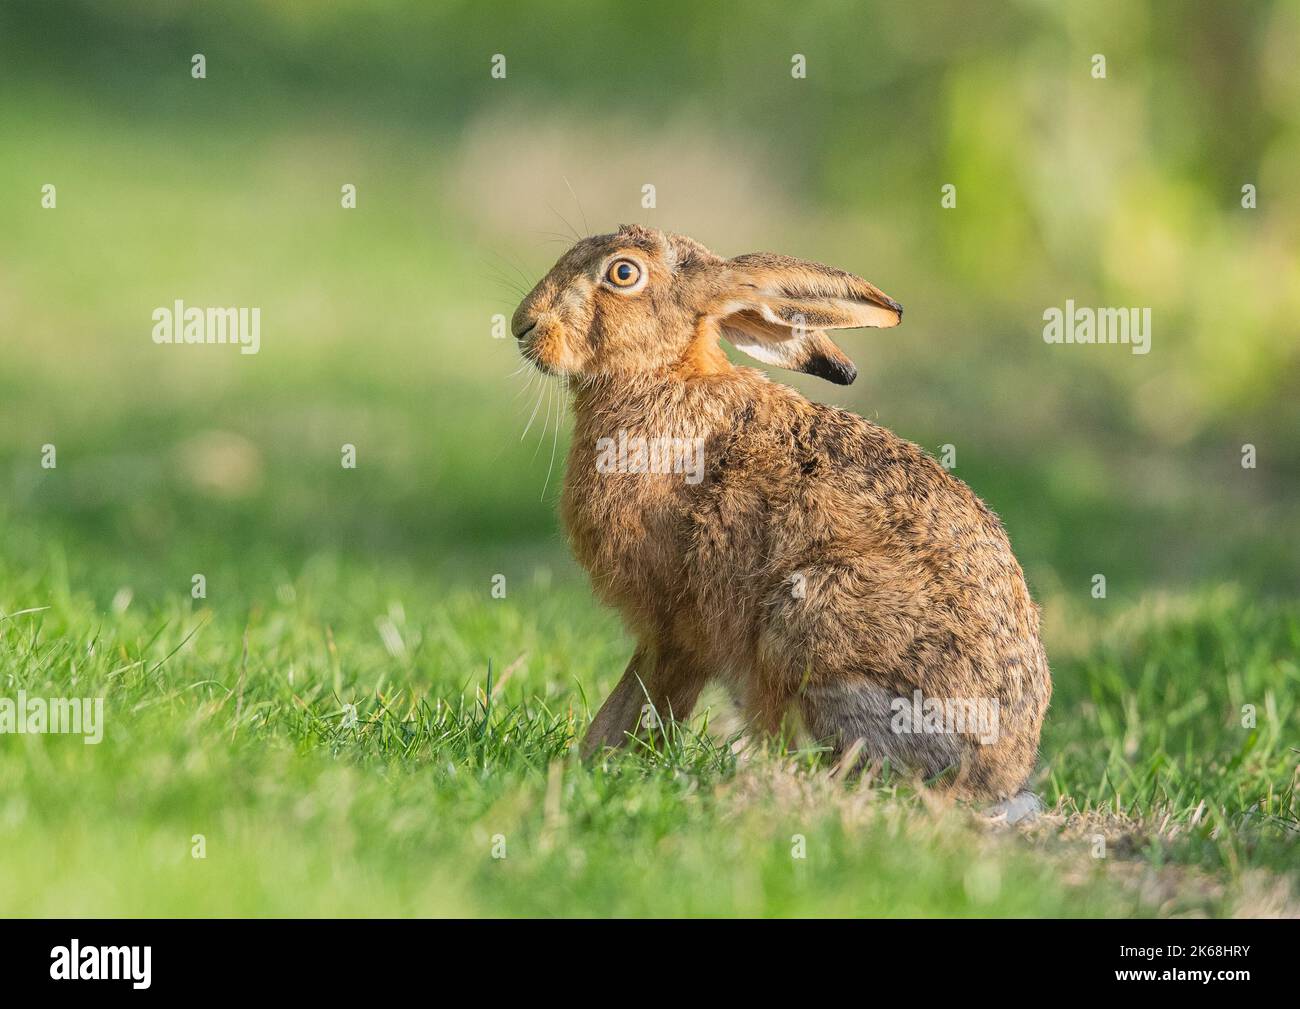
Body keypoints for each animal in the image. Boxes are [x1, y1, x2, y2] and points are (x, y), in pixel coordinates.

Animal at [512, 223, 1051, 808]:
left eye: (623, 273)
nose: (523, 325)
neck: (661, 375)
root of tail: (998, 775)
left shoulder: (678, 625)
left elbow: (647, 699)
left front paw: (603, 761)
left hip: (814, 618)